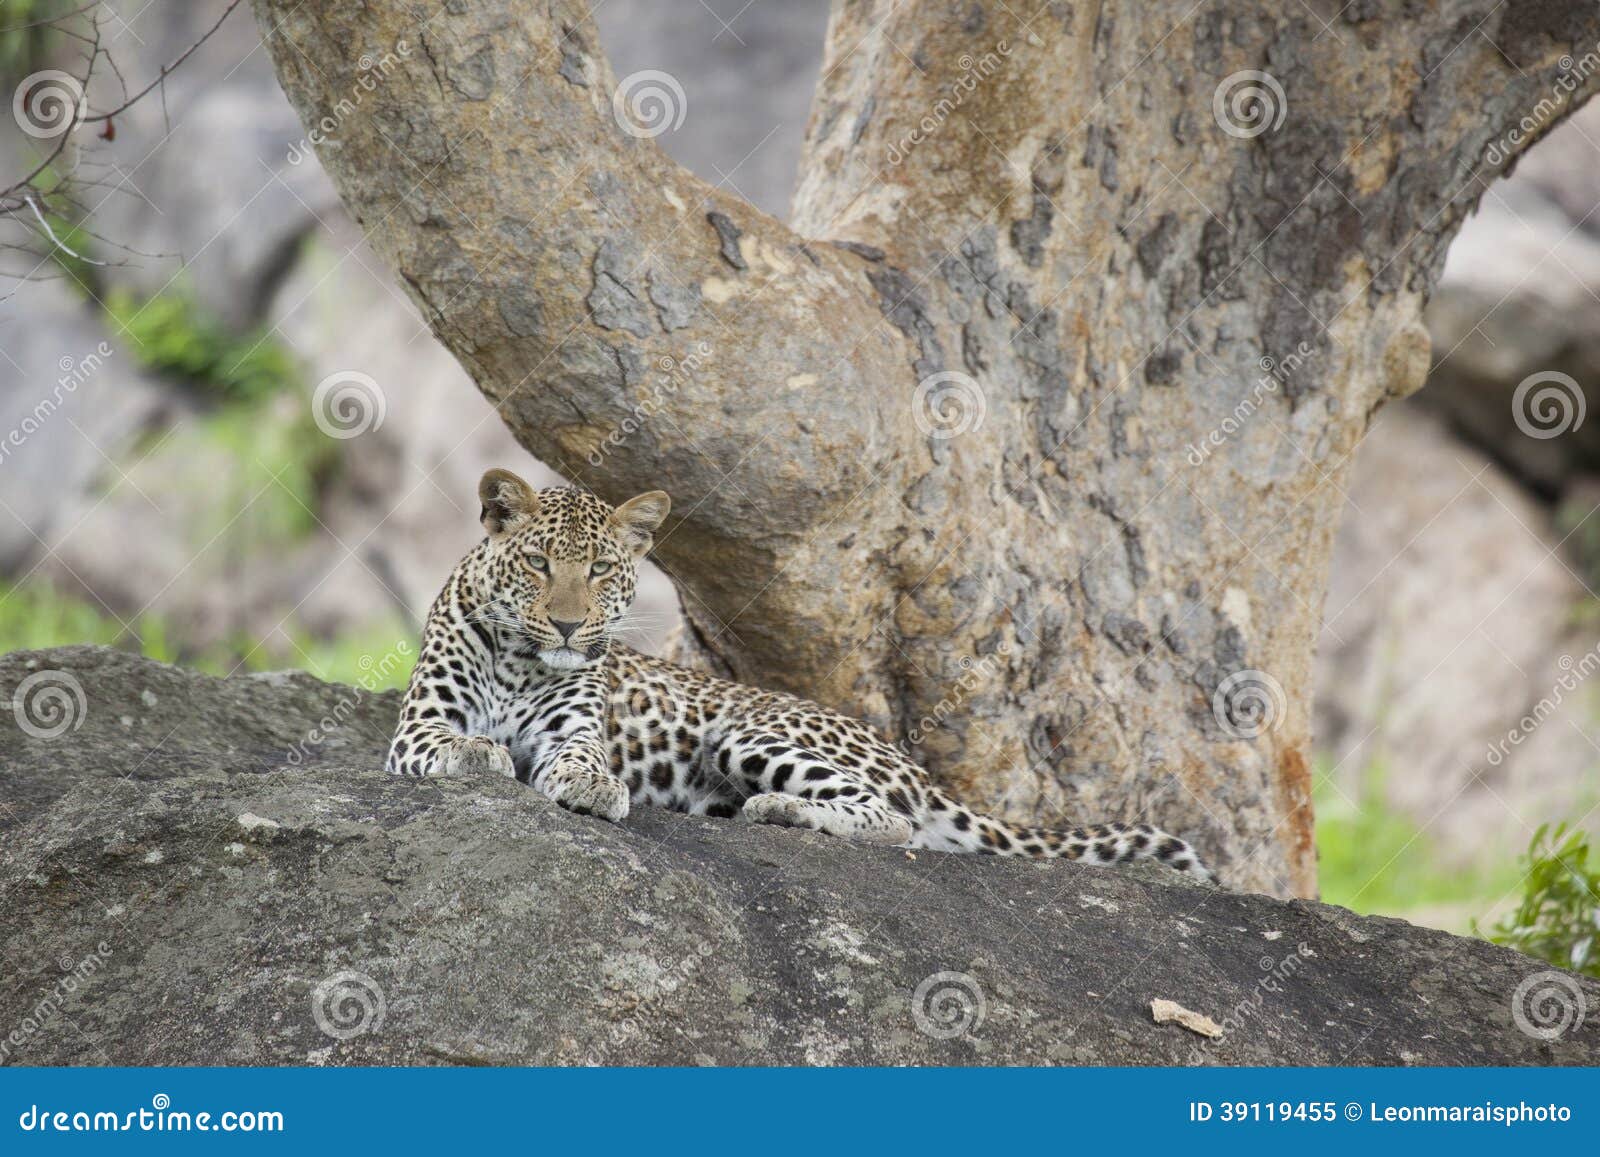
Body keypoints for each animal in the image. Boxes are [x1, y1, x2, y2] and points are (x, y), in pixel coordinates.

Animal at [385, 468, 1213, 882]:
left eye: (599, 570)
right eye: (537, 562)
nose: (564, 624)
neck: (523, 663)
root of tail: (913, 762)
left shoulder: (575, 728)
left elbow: (581, 754)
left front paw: (592, 785)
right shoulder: (416, 728)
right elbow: (458, 741)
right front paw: (484, 752)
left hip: (747, 733)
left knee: (894, 820)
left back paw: (780, 811)